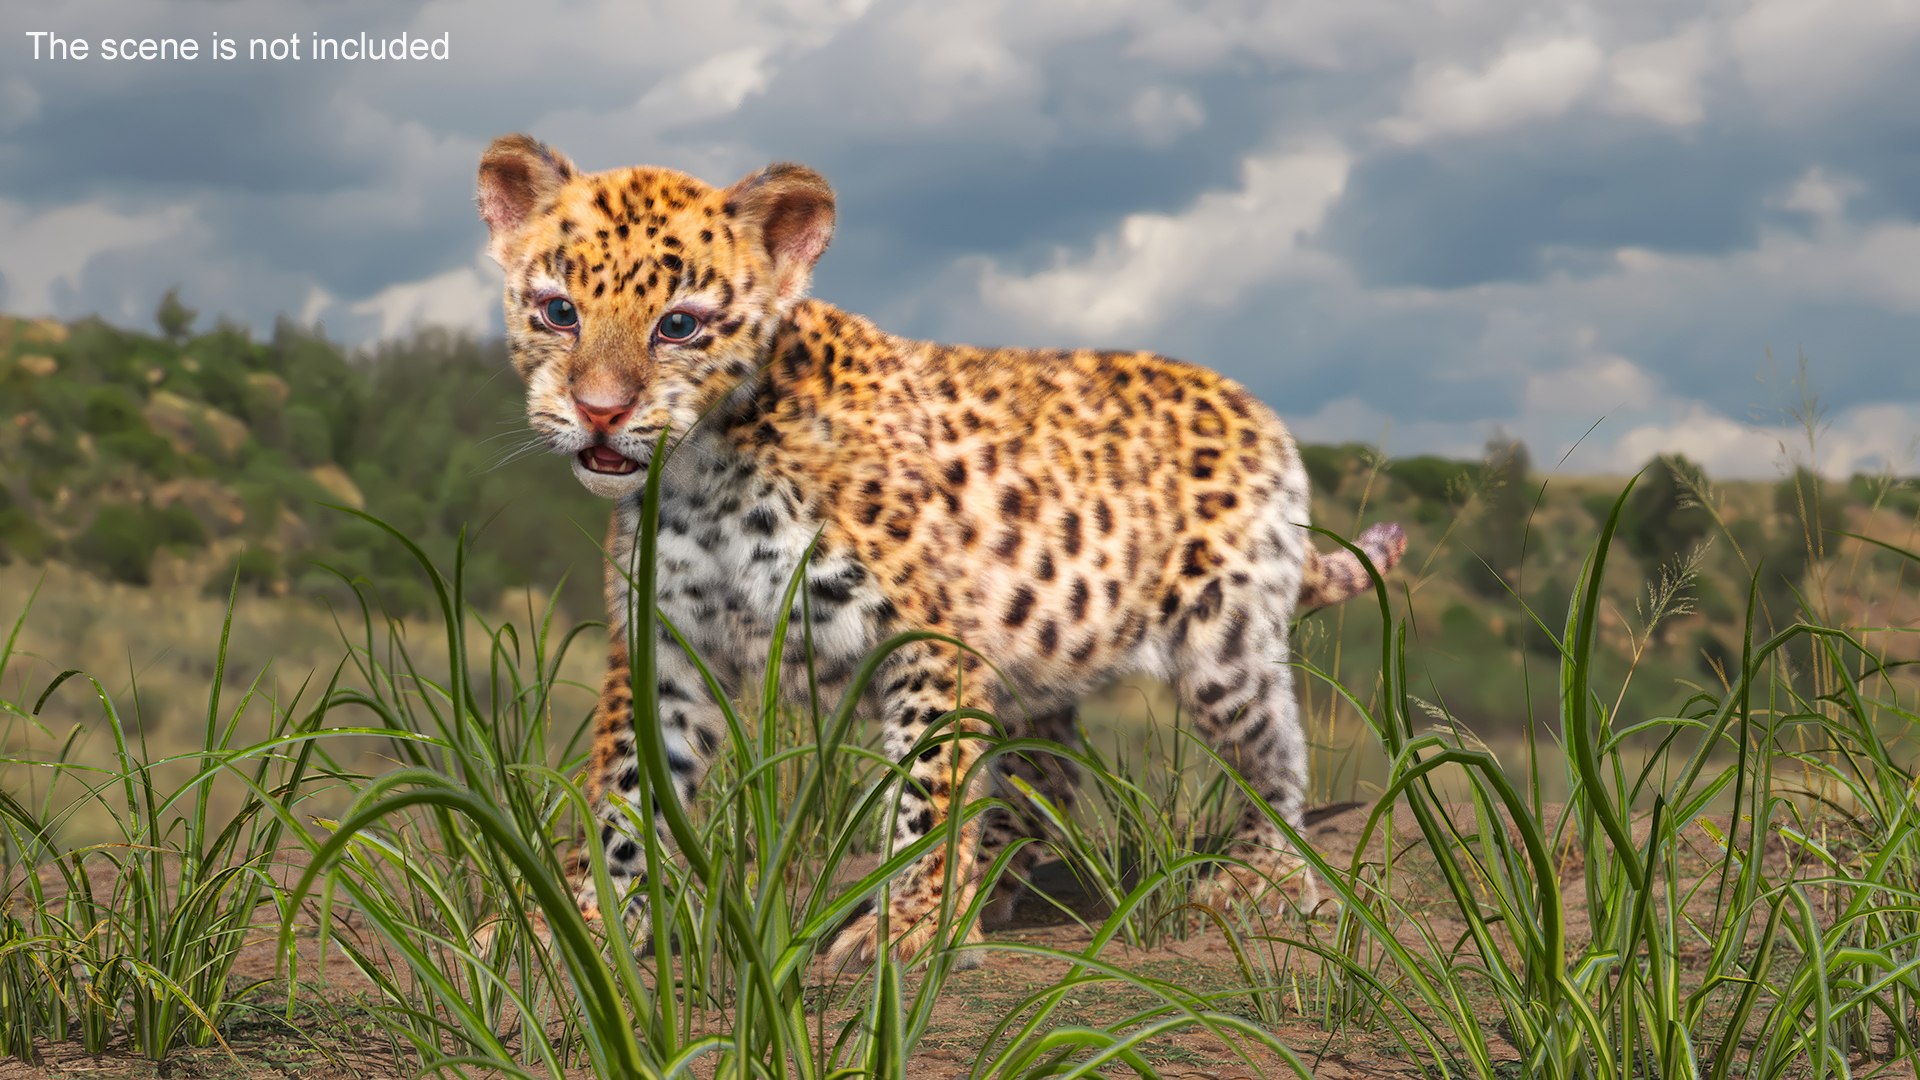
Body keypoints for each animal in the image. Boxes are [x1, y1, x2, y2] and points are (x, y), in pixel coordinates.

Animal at [474, 133, 1407, 968]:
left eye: (679, 326)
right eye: (559, 312)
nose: (599, 412)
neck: (707, 471)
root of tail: (1258, 412)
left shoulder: (931, 641)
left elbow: (928, 792)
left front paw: (909, 931)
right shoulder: (668, 645)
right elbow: (626, 792)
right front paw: (574, 922)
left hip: (1224, 649)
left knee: (1275, 753)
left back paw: (1259, 875)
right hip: (1042, 656)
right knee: (1045, 777)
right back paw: (992, 884)